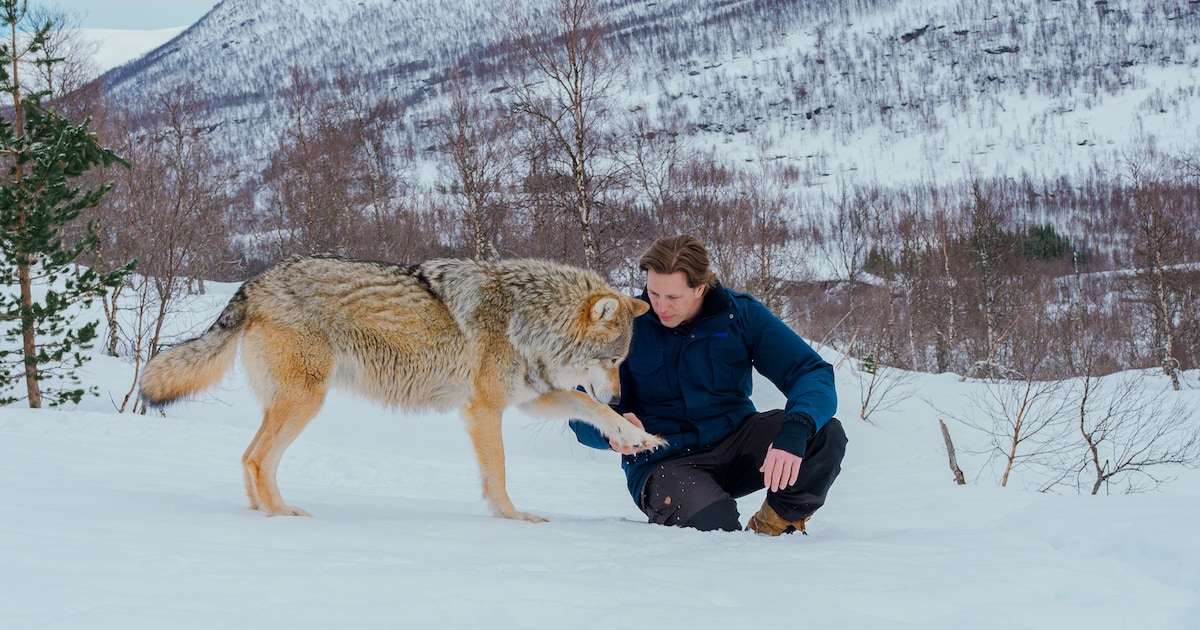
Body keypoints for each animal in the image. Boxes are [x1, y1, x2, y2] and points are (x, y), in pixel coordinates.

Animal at [139, 255, 664, 521]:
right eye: (613, 360)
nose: (619, 396)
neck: (528, 319)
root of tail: (252, 283)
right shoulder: (484, 408)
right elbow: (499, 473)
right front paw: (512, 519)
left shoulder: (532, 399)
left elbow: (586, 407)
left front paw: (638, 435)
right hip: (306, 400)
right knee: (257, 459)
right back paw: (283, 514)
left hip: (288, 402)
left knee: (248, 457)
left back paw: (259, 512)